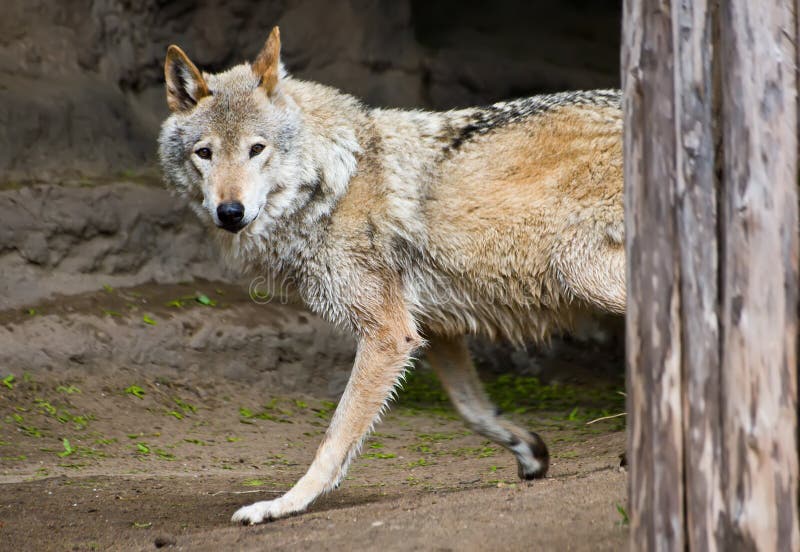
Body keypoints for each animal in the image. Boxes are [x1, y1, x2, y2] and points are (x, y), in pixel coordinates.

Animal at [158, 27, 625, 525]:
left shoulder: (387, 335)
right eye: (205, 153)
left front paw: (284, 504)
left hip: (580, 272)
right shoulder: (433, 329)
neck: (333, 182)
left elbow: (334, 439)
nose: (230, 212)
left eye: (256, 149)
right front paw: (529, 450)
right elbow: (472, 410)